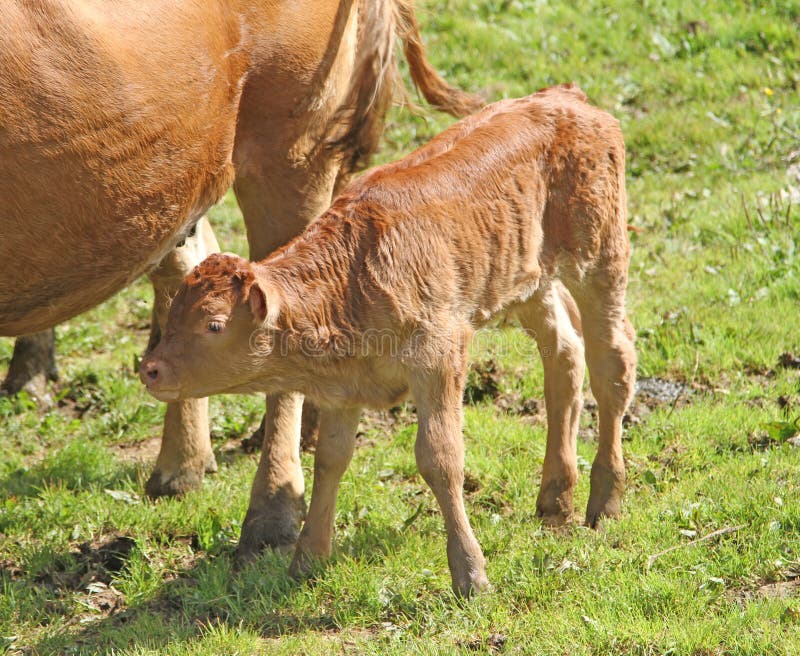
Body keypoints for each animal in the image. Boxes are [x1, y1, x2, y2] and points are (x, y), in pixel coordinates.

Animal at [139, 84, 637, 596]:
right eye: (172, 311)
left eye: (214, 325)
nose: (151, 369)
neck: (353, 274)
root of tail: (564, 97)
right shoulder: (343, 388)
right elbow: (331, 459)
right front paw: (307, 558)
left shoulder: (439, 356)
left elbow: (440, 457)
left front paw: (470, 574)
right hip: (529, 283)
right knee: (565, 355)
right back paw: (555, 499)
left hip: (601, 258)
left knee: (612, 366)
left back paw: (604, 501)